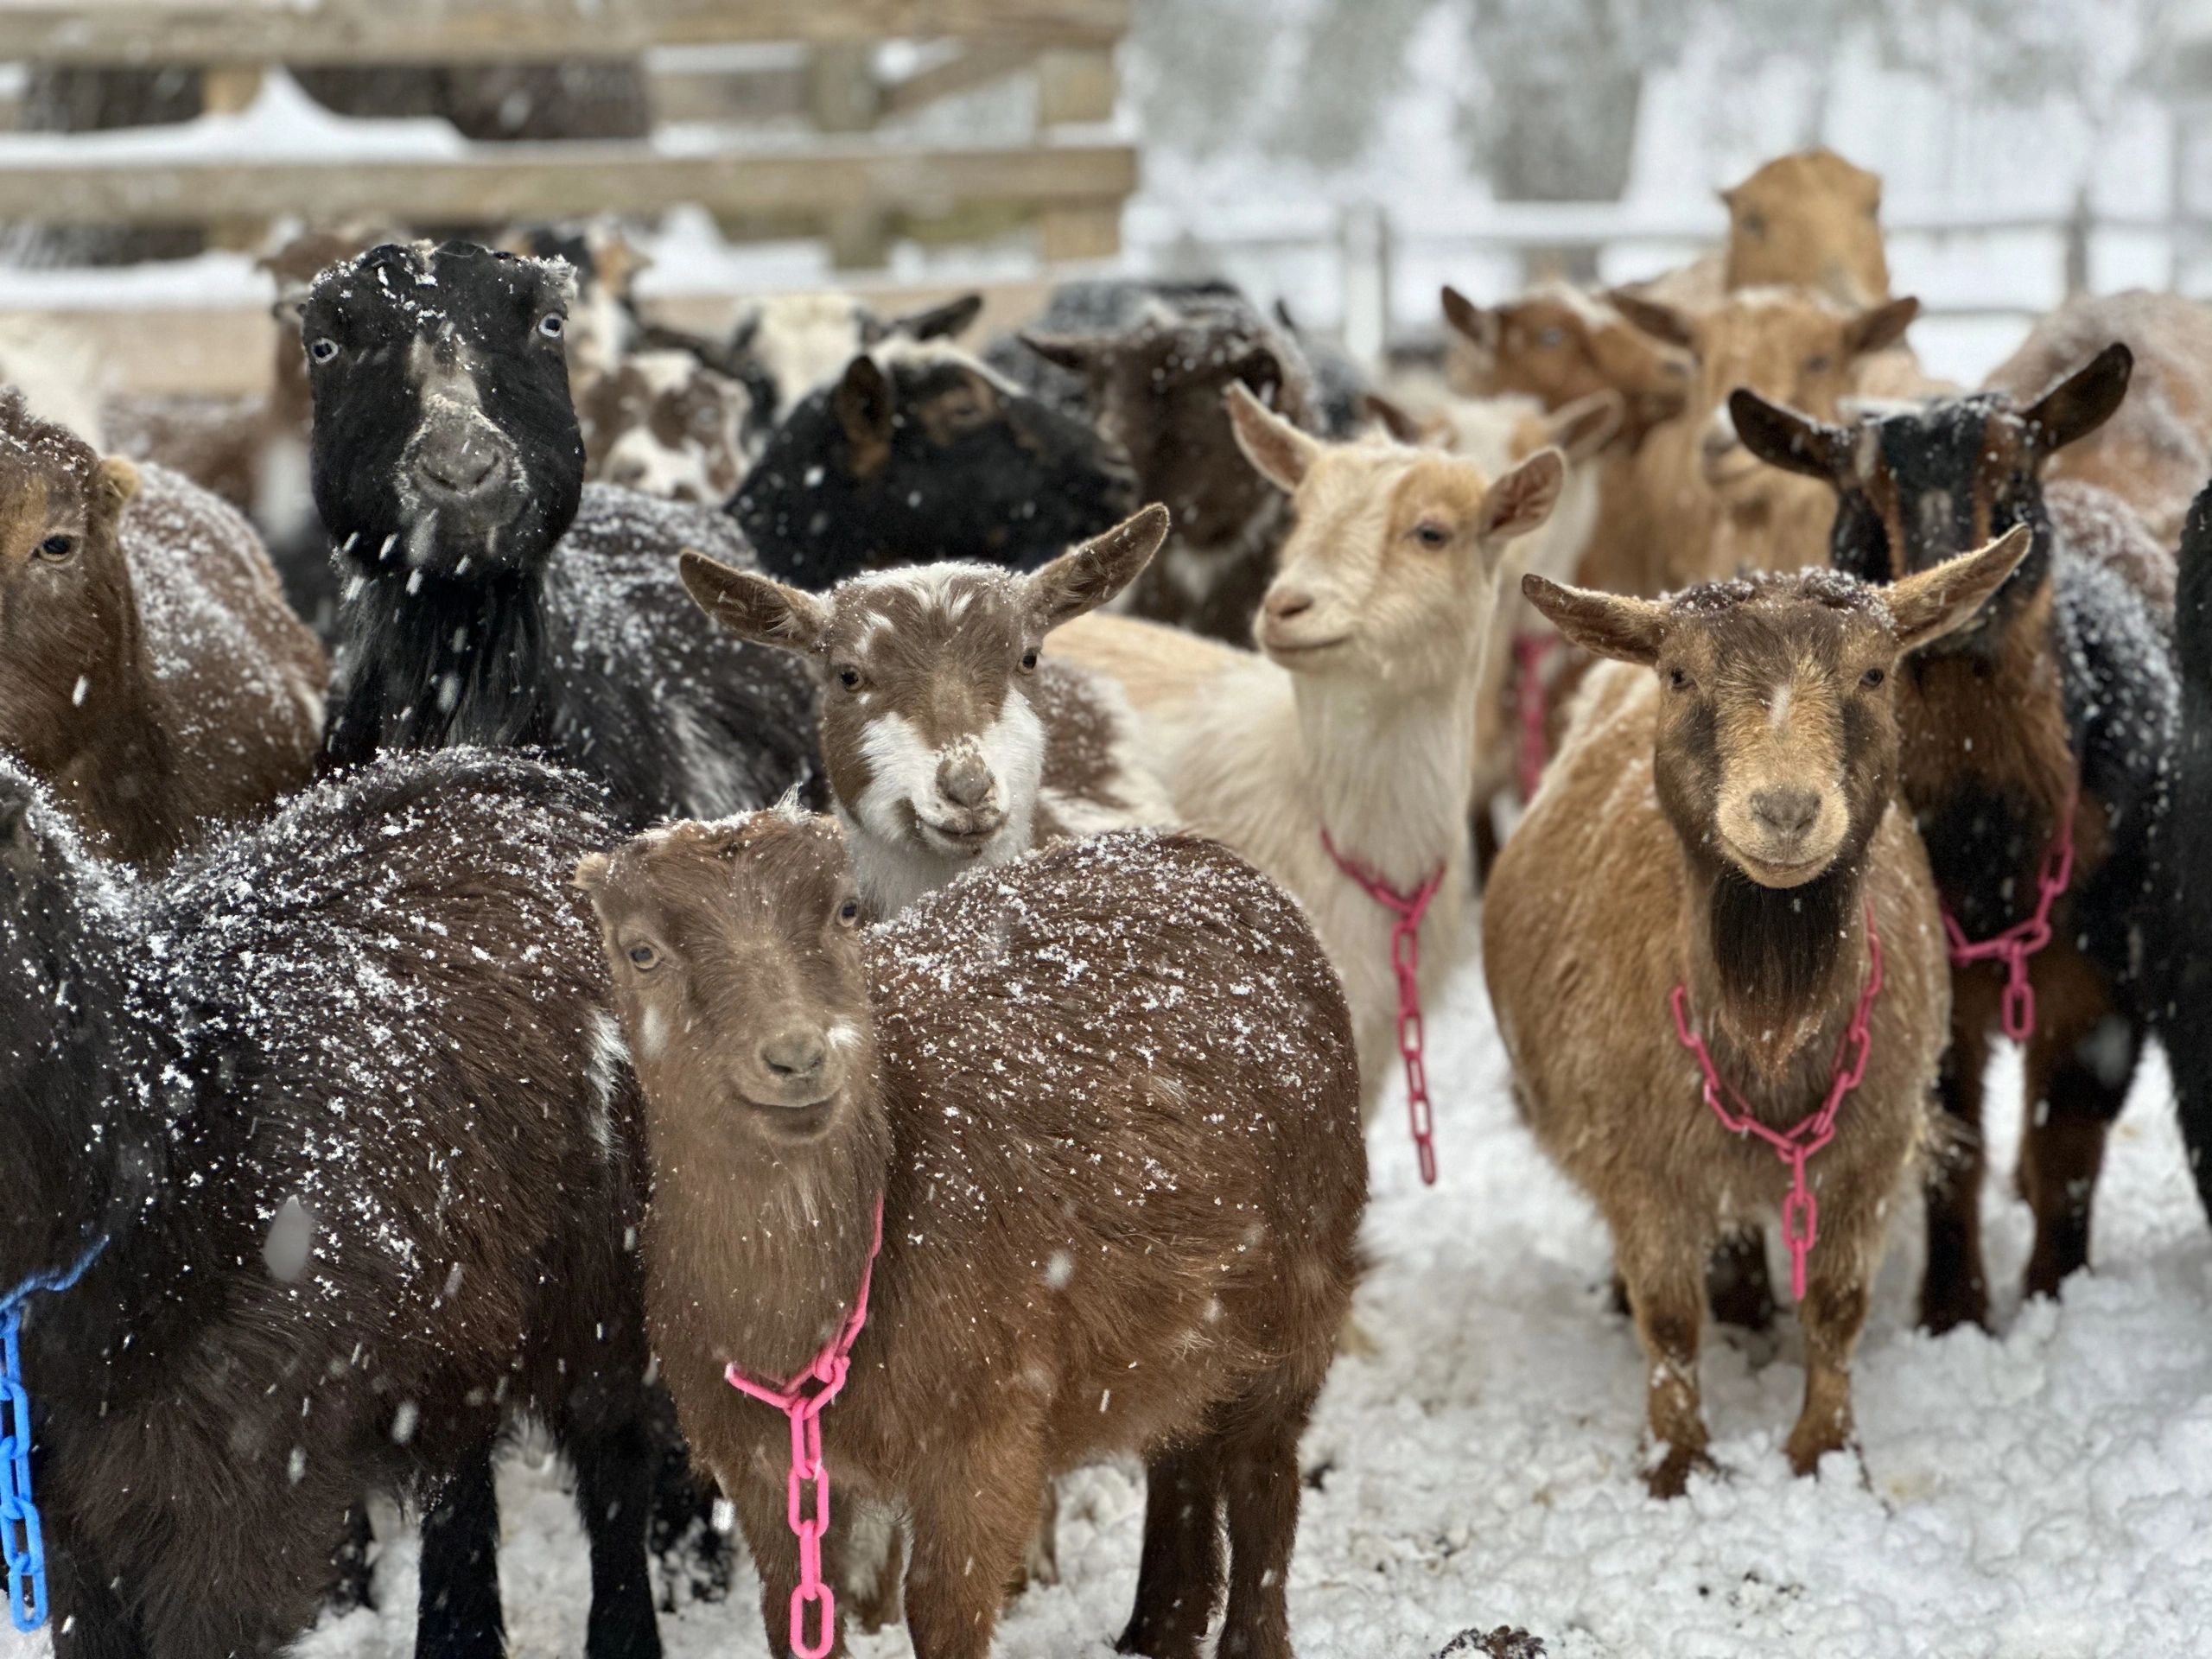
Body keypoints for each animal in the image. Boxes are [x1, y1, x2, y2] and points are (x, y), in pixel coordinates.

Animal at [577, 811, 1366, 1659]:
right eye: (641, 950)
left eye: (847, 911)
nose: (798, 1057)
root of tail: (1218, 860)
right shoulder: (762, 1466)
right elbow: (794, 1611)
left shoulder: (984, 1431)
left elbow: (941, 1609)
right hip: (1182, 1327)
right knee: (1179, 1449)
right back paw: (1155, 1630)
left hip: (1302, 1282)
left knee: (1263, 1478)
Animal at [1488, 532, 2028, 1496]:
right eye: (1679, 675)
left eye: (1875, 673)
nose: (1783, 811)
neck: (1769, 1020)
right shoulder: (1641, 1165)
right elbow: (1669, 1322)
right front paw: (1677, 1463)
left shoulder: (1869, 1153)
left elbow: (1837, 1308)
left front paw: (1825, 1452)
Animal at [1733, 345, 2176, 1331]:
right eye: (1859, 495)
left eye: (2015, 473)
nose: (1947, 592)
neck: (1989, 847)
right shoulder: (1917, 985)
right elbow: (1951, 1140)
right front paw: (1953, 1310)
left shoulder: (2109, 978)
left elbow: (2069, 1146)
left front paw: (2055, 1296)